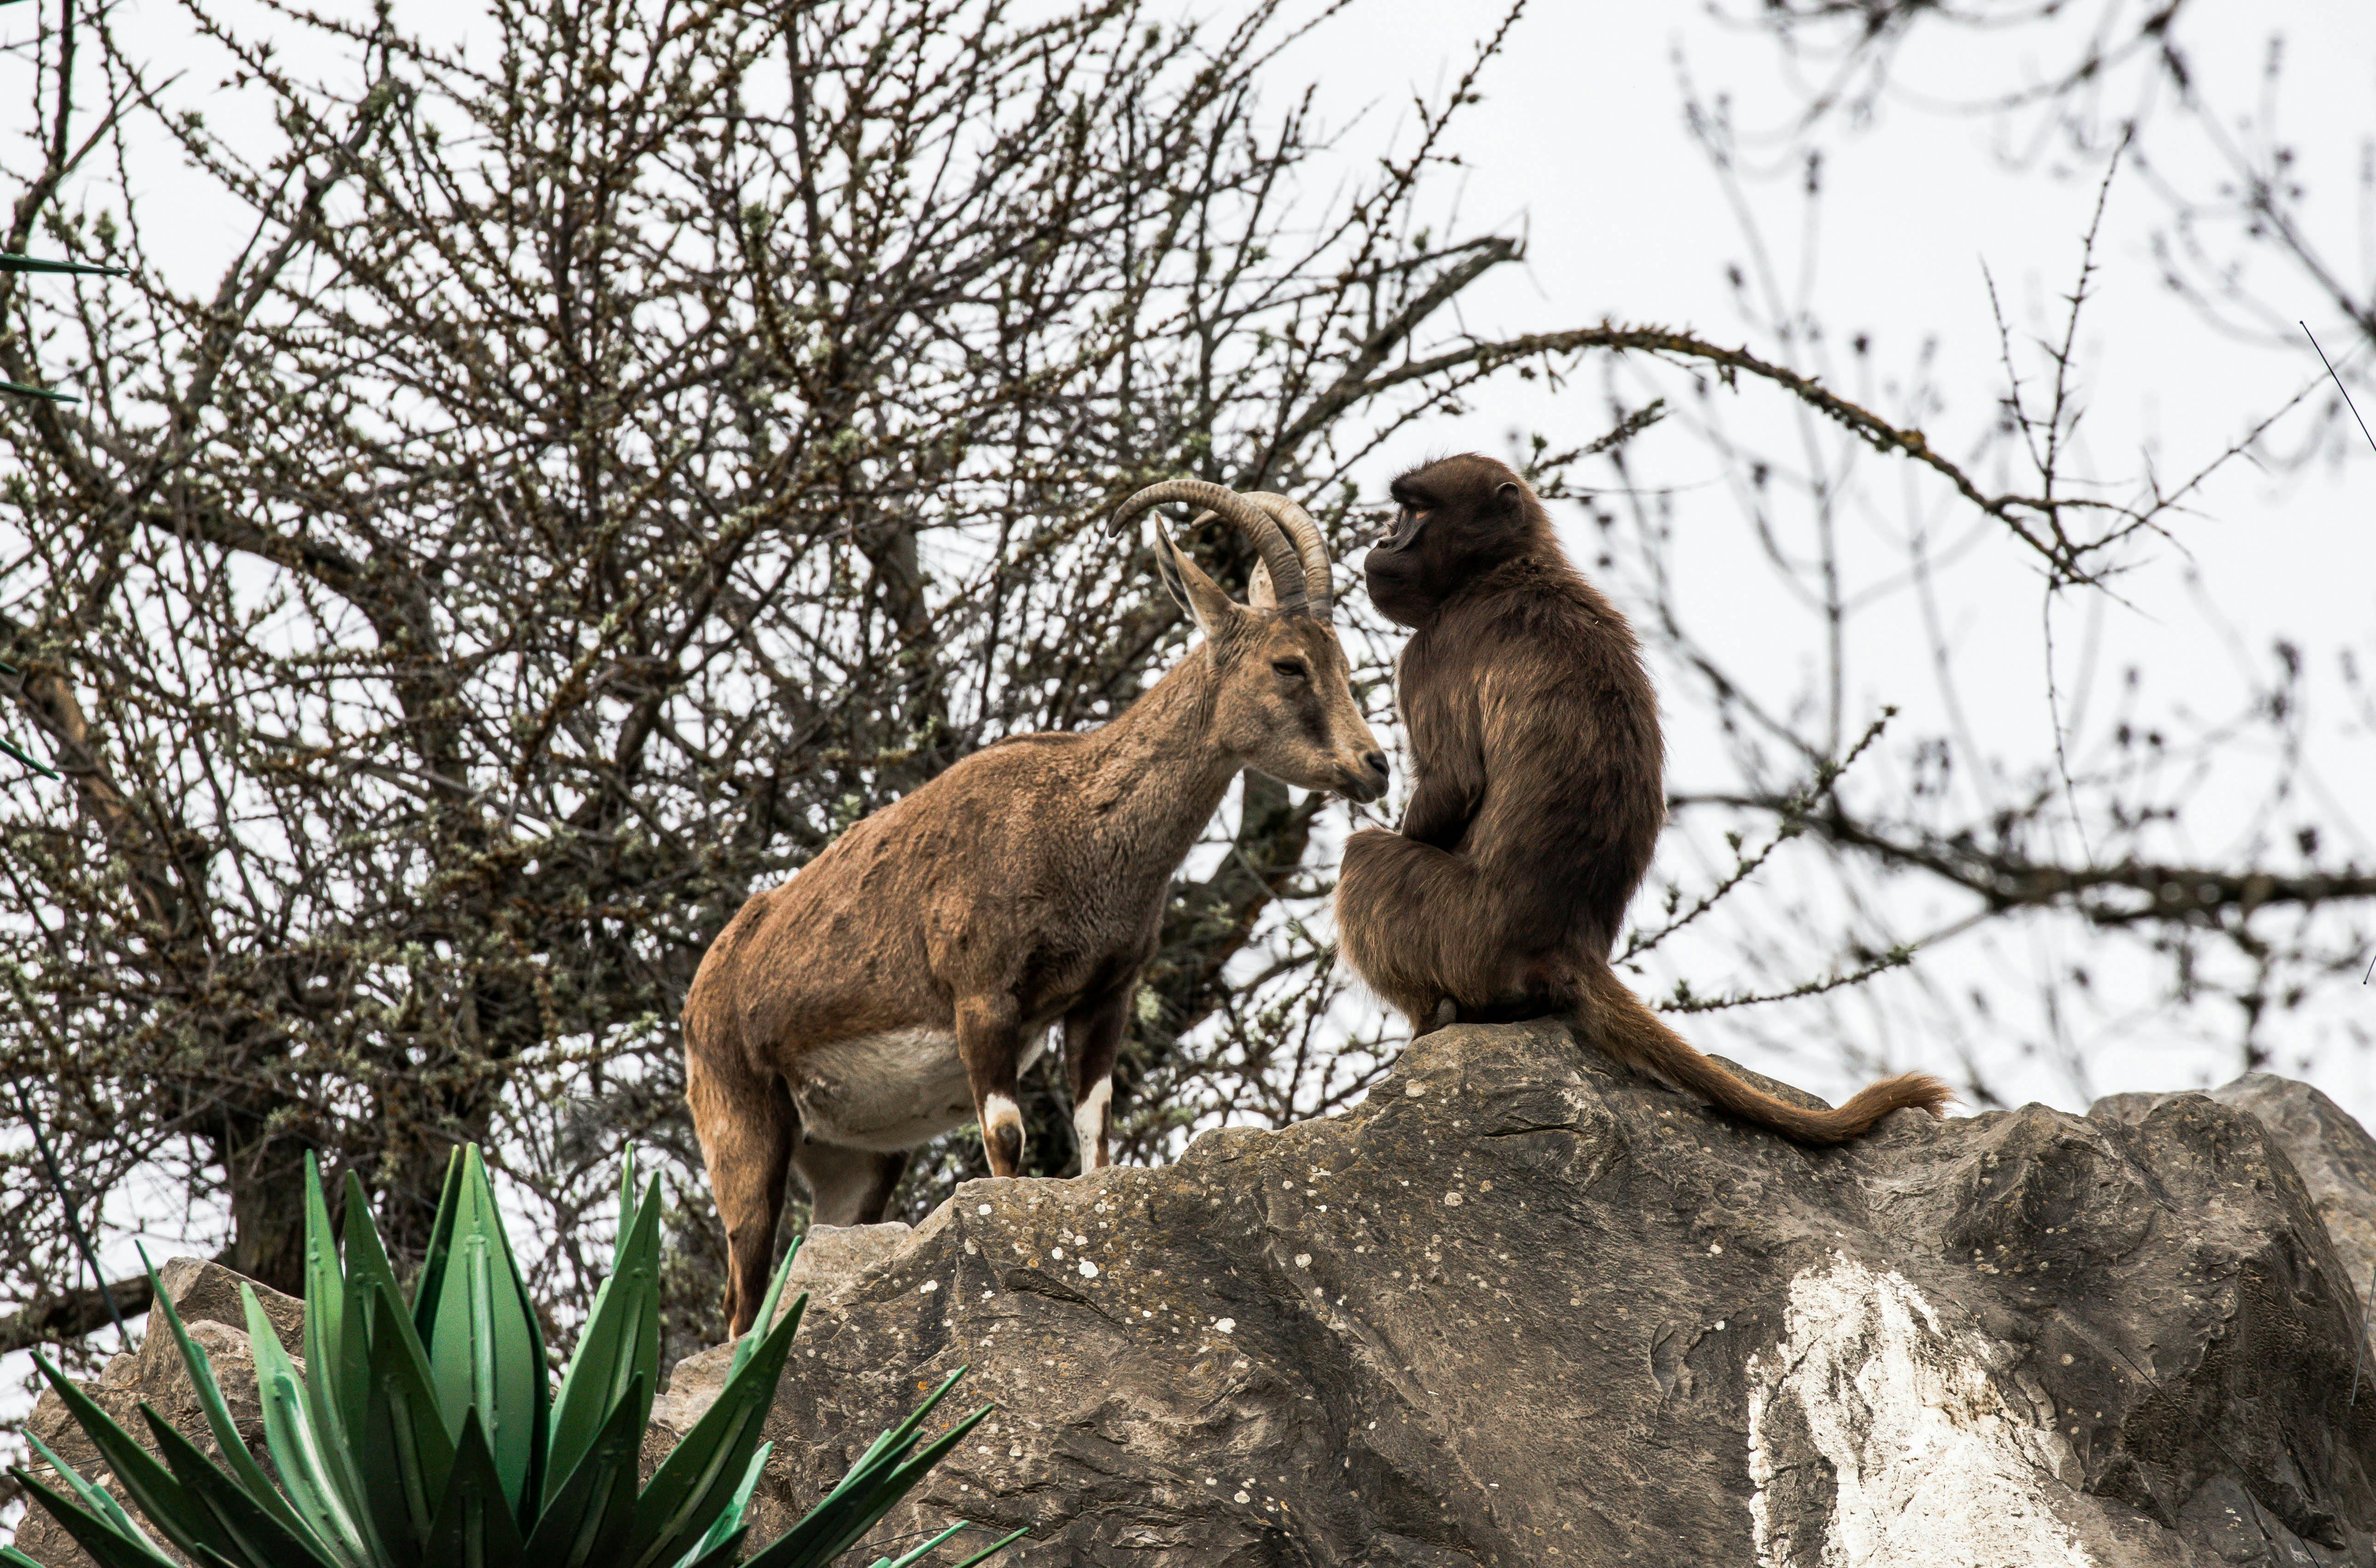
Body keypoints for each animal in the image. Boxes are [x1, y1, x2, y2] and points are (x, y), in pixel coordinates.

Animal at [1335, 452, 1950, 1143]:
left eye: (1416, 512)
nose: (1382, 542)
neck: (1505, 570)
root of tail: (1565, 946)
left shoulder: (1430, 650)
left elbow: (1451, 782)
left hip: (1460, 933)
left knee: (1365, 856)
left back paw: (1433, 1016)